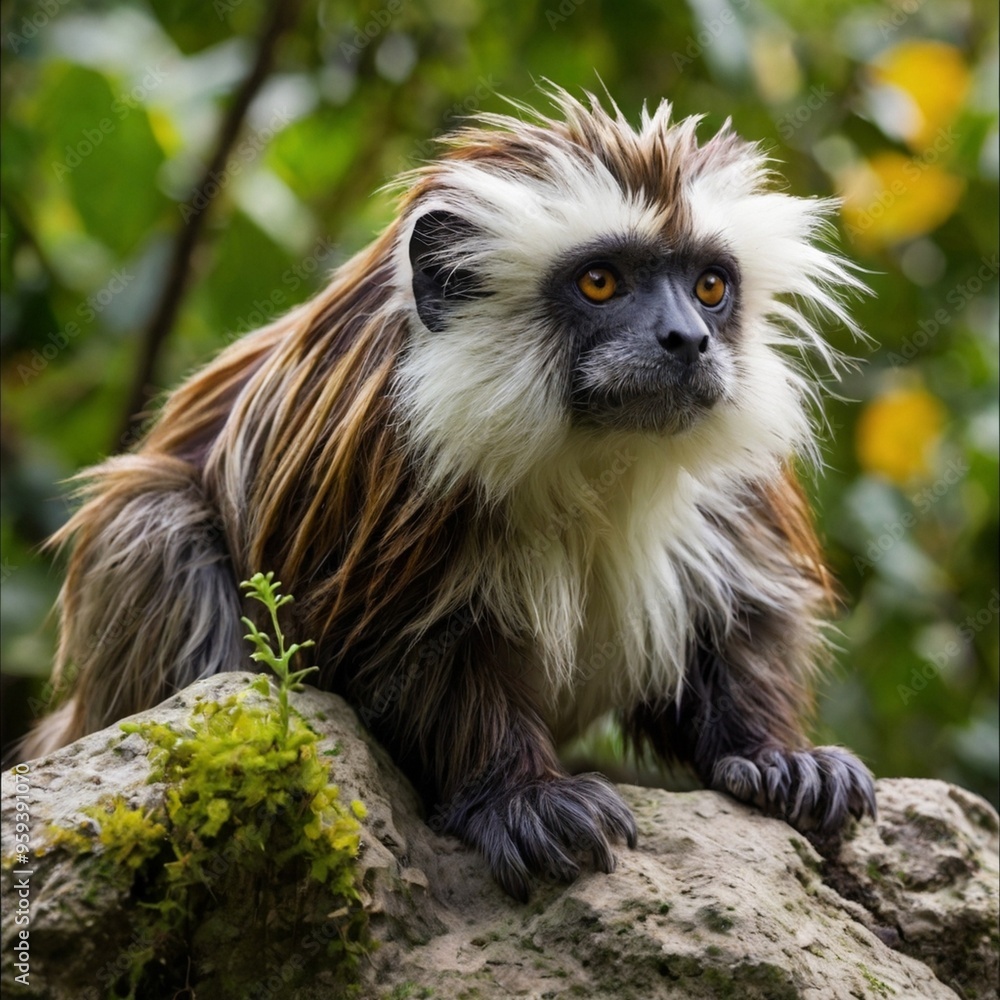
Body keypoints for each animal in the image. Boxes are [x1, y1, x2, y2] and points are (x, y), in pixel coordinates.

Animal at [25, 88, 876, 902]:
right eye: (601, 283)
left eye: (709, 287)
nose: (688, 340)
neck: (596, 453)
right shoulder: (397, 471)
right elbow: (413, 652)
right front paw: (522, 797)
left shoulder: (731, 492)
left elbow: (741, 614)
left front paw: (775, 756)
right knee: (152, 524)